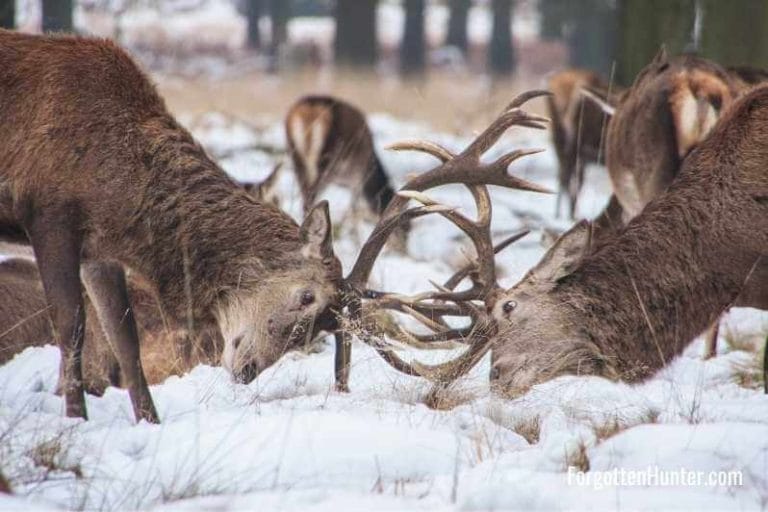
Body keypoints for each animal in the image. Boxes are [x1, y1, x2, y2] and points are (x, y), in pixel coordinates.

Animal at [0, 30, 344, 423]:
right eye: (307, 297)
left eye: (322, 326)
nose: (247, 371)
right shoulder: (49, 216)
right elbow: (70, 326)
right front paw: (76, 419)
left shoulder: (99, 249)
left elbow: (124, 336)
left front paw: (150, 420)